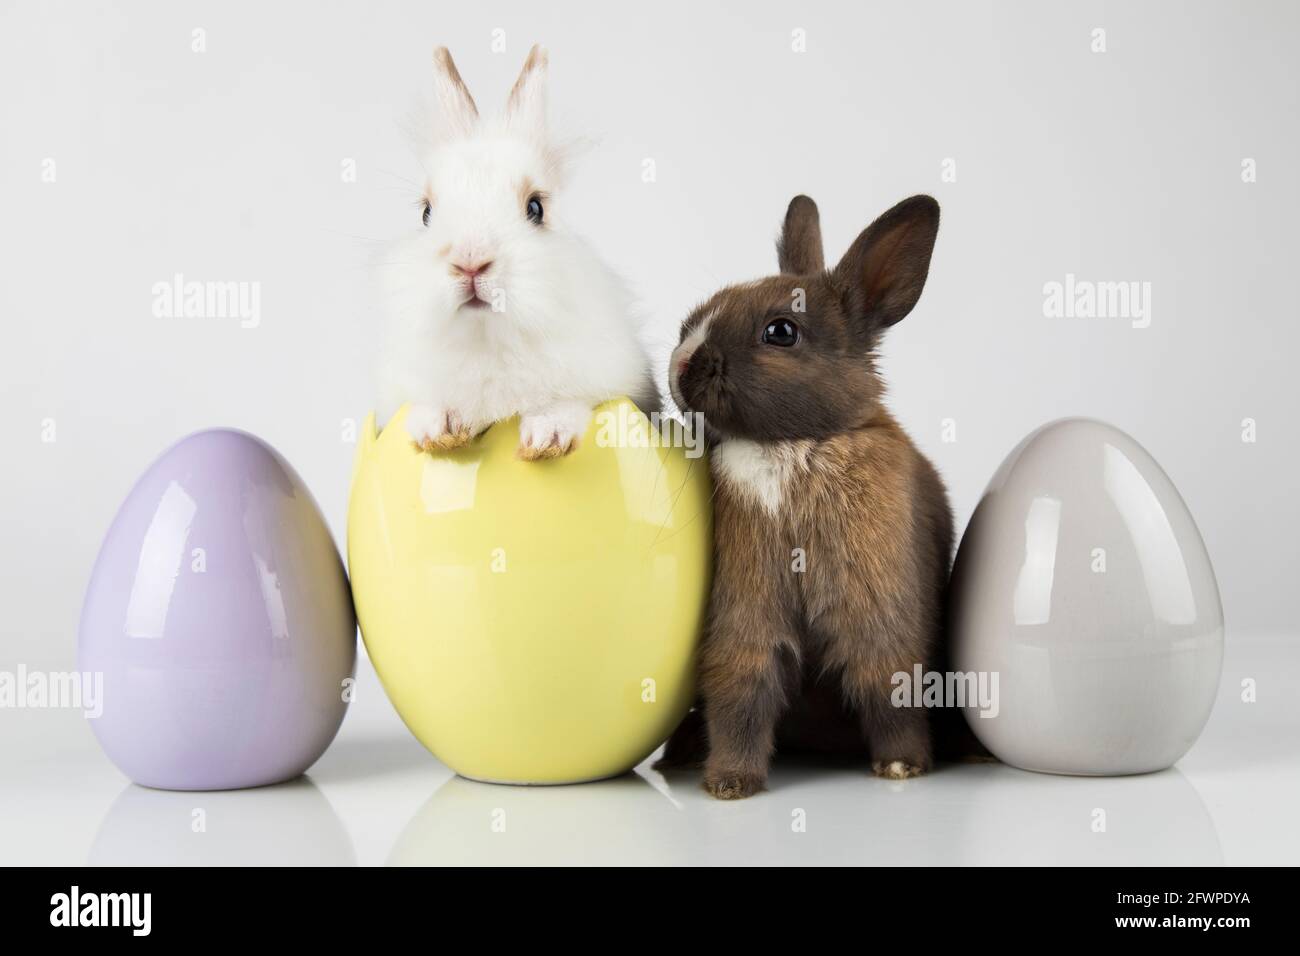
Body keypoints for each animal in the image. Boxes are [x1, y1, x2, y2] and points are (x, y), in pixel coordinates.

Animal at [377, 45, 657, 459]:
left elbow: (568, 405)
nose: (470, 263)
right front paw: (438, 430)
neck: (488, 342)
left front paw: (545, 439)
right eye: (426, 212)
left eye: (536, 208)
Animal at [658, 194, 958, 799]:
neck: (793, 445)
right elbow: (740, 690)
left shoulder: (878, 619)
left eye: (781, 331)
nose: (681, 366)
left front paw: (902, 766)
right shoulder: (745, 617)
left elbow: (888, 685)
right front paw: (729, 782)